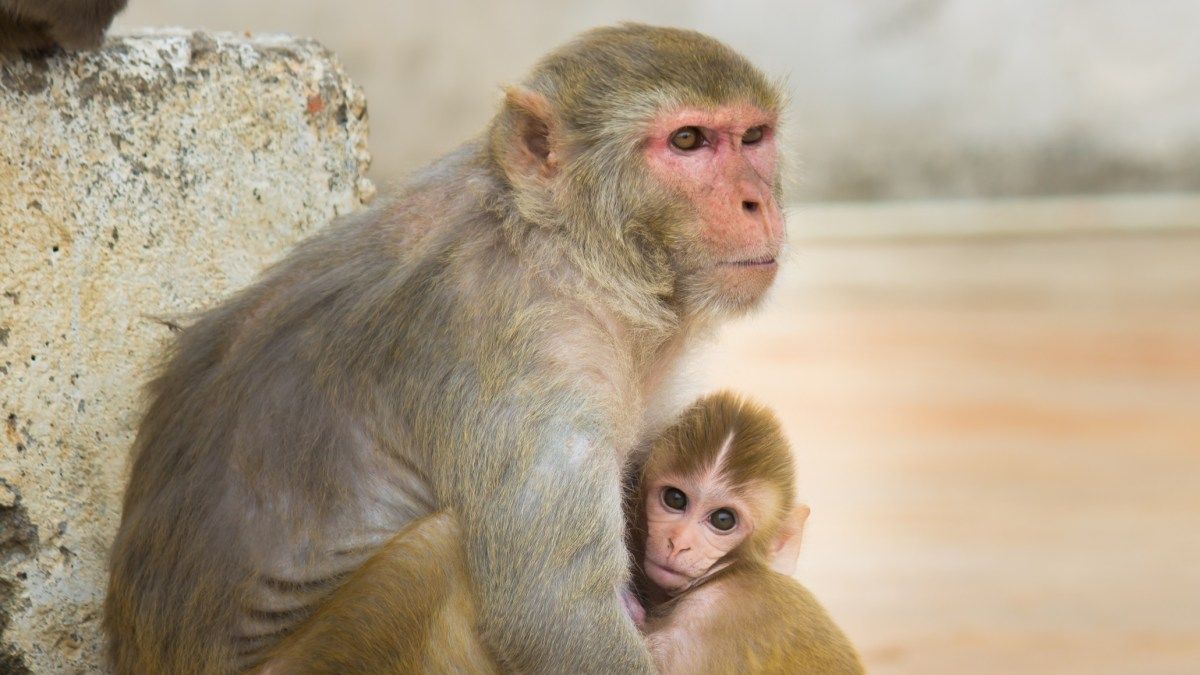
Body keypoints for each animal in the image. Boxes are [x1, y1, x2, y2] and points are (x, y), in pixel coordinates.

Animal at [105, 23, 785, 674]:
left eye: (753, 137)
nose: (757, 201)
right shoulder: (536, 356)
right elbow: (557, 623)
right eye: (688, 141)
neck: (568, 249)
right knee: (439, 553)